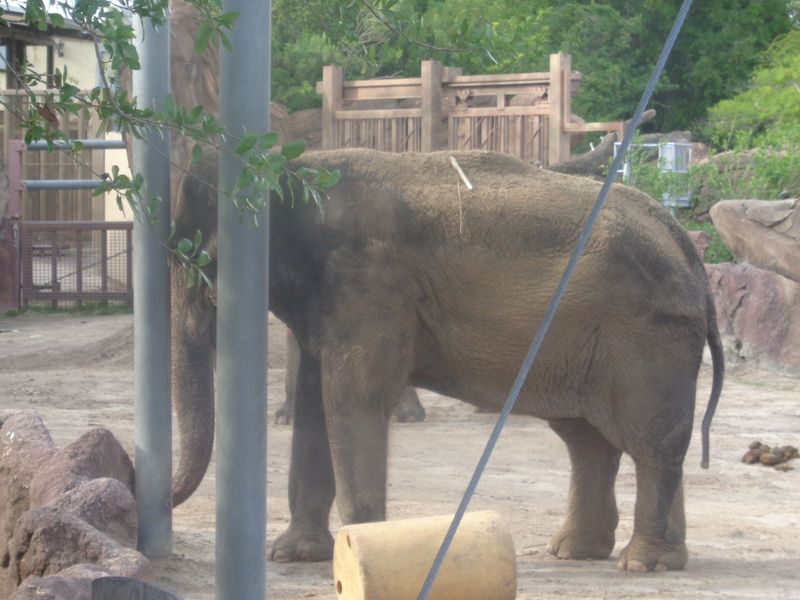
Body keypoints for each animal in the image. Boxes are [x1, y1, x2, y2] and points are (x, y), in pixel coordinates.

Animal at [171, 148, 723, 572]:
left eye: (208, 267)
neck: (294, 168)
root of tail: (684, 242)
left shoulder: (370, 288)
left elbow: (352, 399)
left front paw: (357, 551)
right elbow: (313, 405)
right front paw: (293, 556)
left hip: (647, 335)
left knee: (648, 439)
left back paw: (643, 563)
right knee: (591, 441)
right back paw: (585, 553)